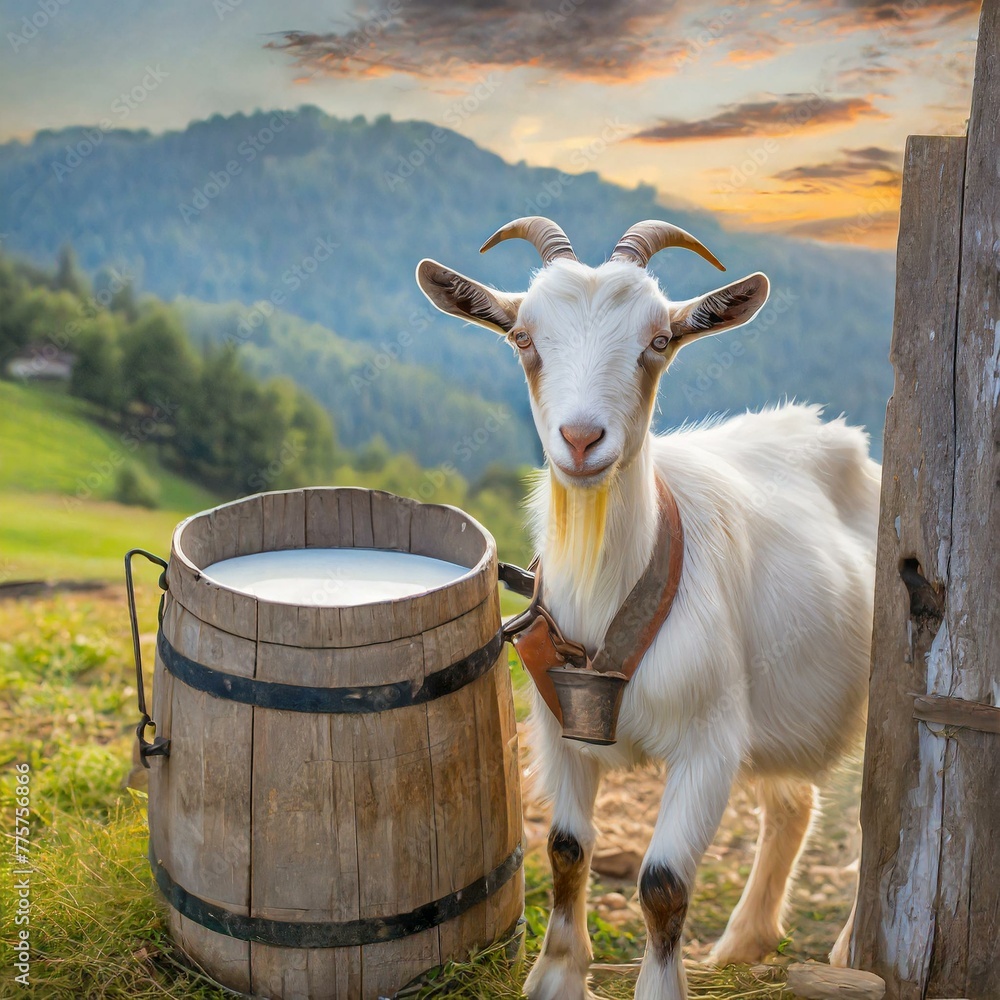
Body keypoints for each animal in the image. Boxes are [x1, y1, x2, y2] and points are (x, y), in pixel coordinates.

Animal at [416, 217, 879, 1000]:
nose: (580, 439)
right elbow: (565, 848)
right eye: (523, 337)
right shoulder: (560, 731)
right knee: (793, 805)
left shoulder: (709, 743)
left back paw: (847, 951)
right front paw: (556, 977)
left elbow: (663, 883)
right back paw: (743, 944)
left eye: (658, 340)